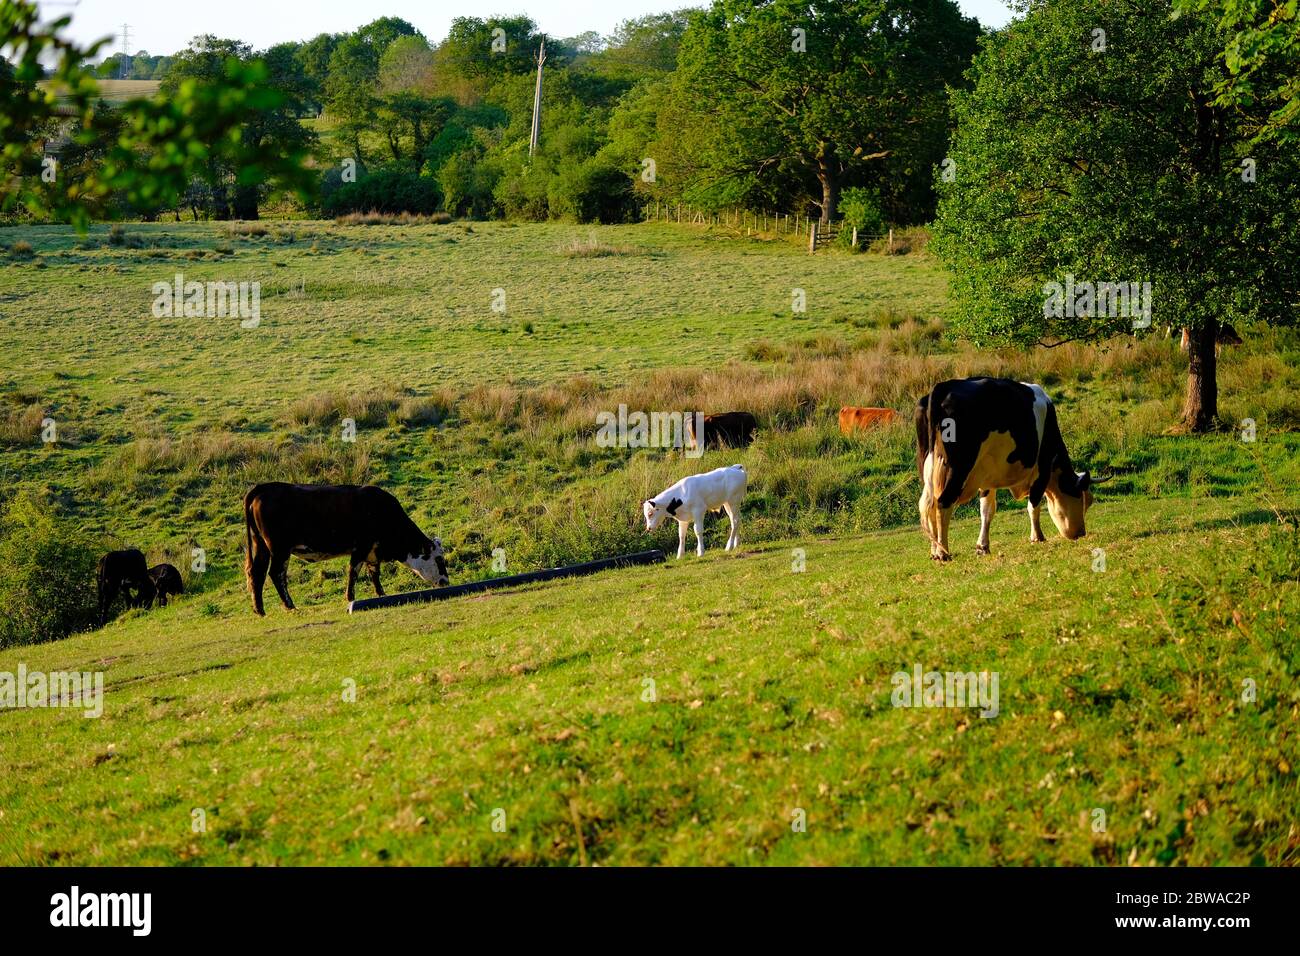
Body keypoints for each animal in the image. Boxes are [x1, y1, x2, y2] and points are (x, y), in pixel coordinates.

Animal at [243, 483, 449, 615]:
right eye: (439, 559)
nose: (446, 581)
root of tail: (264, 488)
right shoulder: (361, 547)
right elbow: (353, 572)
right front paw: (350, 597)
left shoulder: (373, 551)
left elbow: (374, 573)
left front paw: (381, 595)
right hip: (279, 549)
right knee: (276, 574)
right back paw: (290, 606)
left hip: (260, 546)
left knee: (256, 573)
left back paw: (259, 610)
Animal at [915, 378, 1101, 561]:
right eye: (1085, 500)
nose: (1081, 533)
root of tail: (944, 386)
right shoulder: (1042, 470)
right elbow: (1033, 505)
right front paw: (1037, 537)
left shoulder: (987, 477)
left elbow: (987, 511)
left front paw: (982, 547)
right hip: (958, 468)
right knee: (943, 503)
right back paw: (943, 552)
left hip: (929, 468)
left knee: (928, 506)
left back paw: (934, 551)